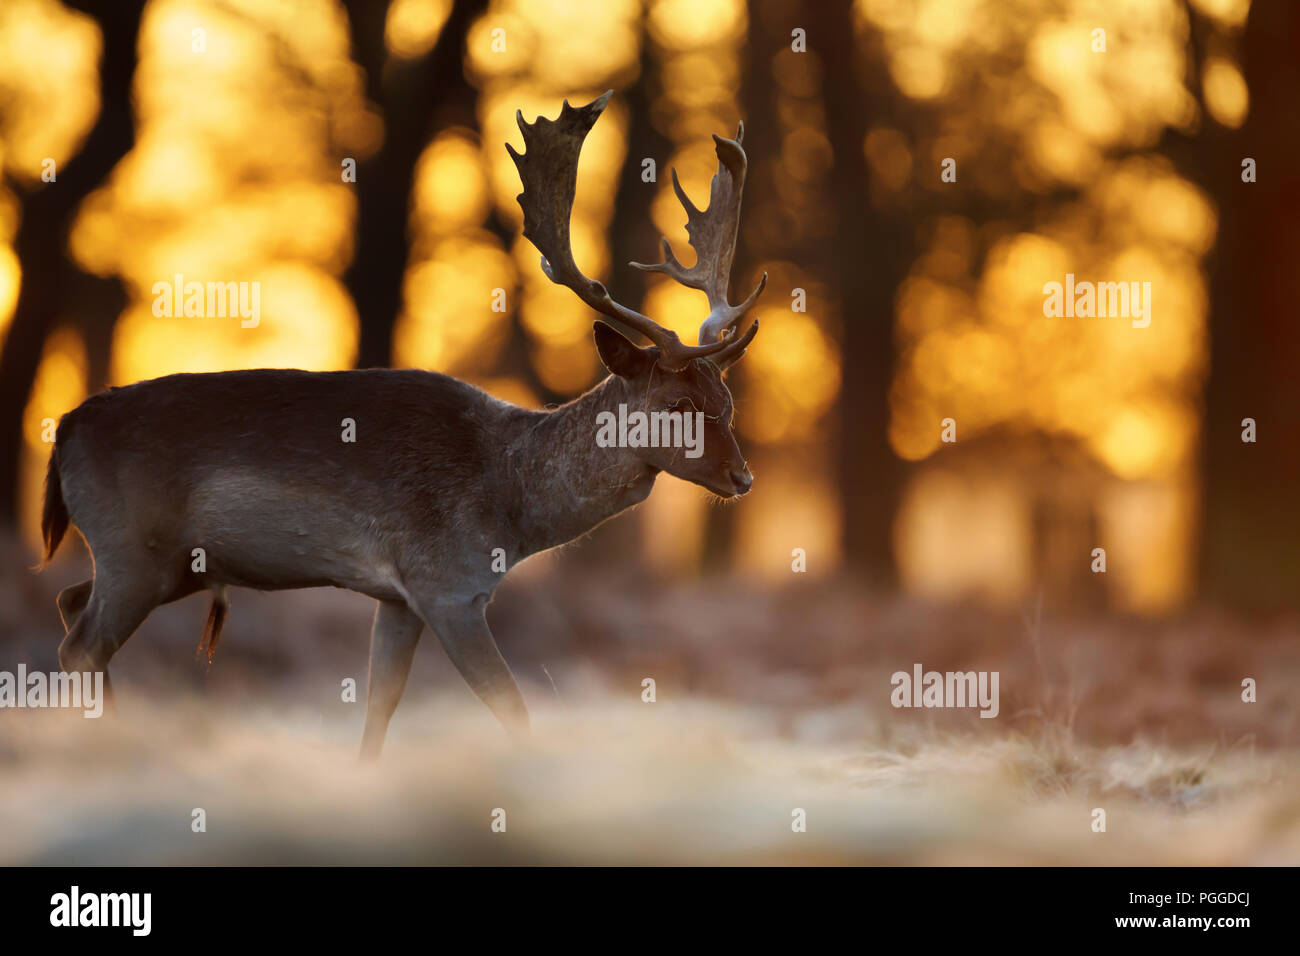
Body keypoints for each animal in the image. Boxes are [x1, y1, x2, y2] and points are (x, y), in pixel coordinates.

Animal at [39, 91, 765, 758]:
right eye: (677, 405)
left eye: (727, 401)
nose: (744, 477)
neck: (509, 502)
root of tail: (66, 428)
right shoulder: (447, 584)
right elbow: (513, 709)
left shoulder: (398, 596)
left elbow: (380, 707)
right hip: (134, 549)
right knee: (79, 644)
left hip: (165, 564)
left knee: (70, 603)